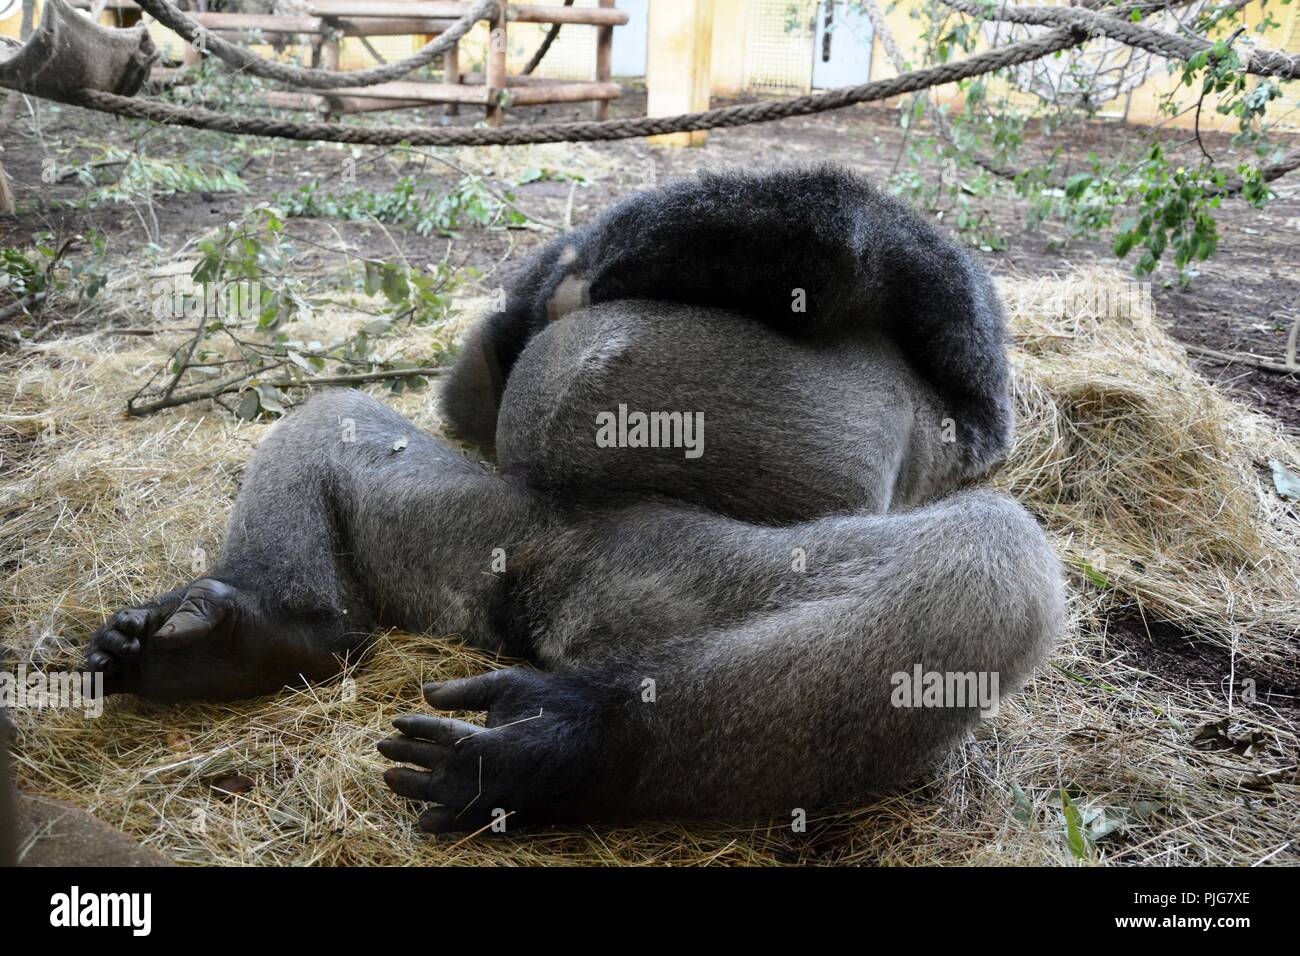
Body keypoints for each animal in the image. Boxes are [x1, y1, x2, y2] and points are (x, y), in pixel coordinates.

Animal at [84, 166, 1064, 831]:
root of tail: (537, 588)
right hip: (494, 541)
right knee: (338, 422)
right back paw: (271, 629)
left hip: (654, 581)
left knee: (988, 562)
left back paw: (581, 743)